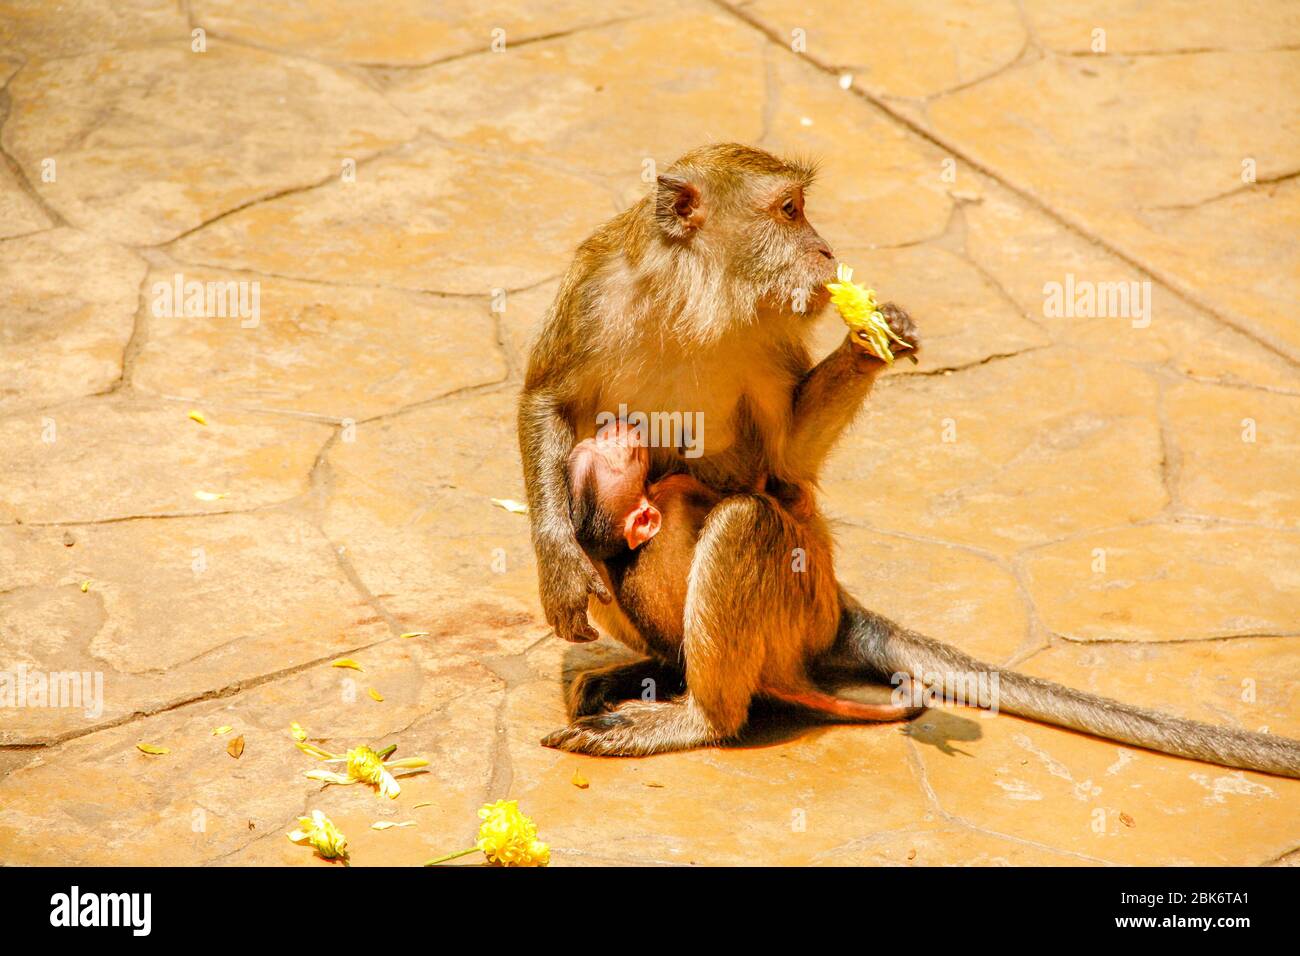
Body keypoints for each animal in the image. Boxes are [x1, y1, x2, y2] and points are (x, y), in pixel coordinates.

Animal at [518, 142, 1300, 777]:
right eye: (790, 210)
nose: (827, 251)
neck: (696, 295)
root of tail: (837, 606)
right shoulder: (595, 286)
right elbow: (547, 401)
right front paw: (558, 564)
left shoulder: (770, 335)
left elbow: (784, 463)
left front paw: (871, 338)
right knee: (612, 536)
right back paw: (655, 666)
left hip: (802, 604)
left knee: (742, 520)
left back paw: (703, 716)